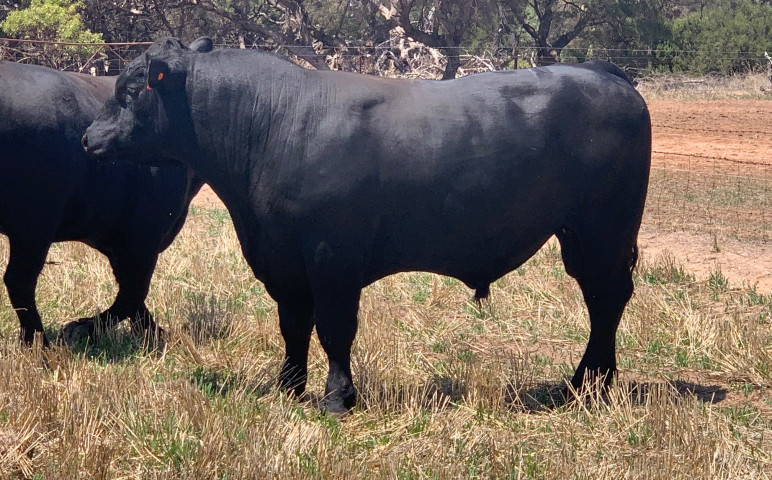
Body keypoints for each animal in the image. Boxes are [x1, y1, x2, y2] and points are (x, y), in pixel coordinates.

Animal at [0, 60, 202, 347]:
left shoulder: (116, 239)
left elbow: (131, 293)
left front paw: (152, 334)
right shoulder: (144, 236)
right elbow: (133, 292)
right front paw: (81, 328)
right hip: (35, 223)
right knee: (19, 280)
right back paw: (40, 344)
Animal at [82, 37, 651, 413]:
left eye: (130, 92)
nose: (88, 138)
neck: (273, 122)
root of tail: (602, 72)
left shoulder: (332, 256)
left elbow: (335, 328)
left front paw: (337, 398)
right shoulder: (284, 260)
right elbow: (294, 326)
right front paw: (288, 387)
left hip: (603, 230)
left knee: (606, 301)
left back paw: (588, 385)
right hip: (580, 236)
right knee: (602, 300)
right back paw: (588, 383)